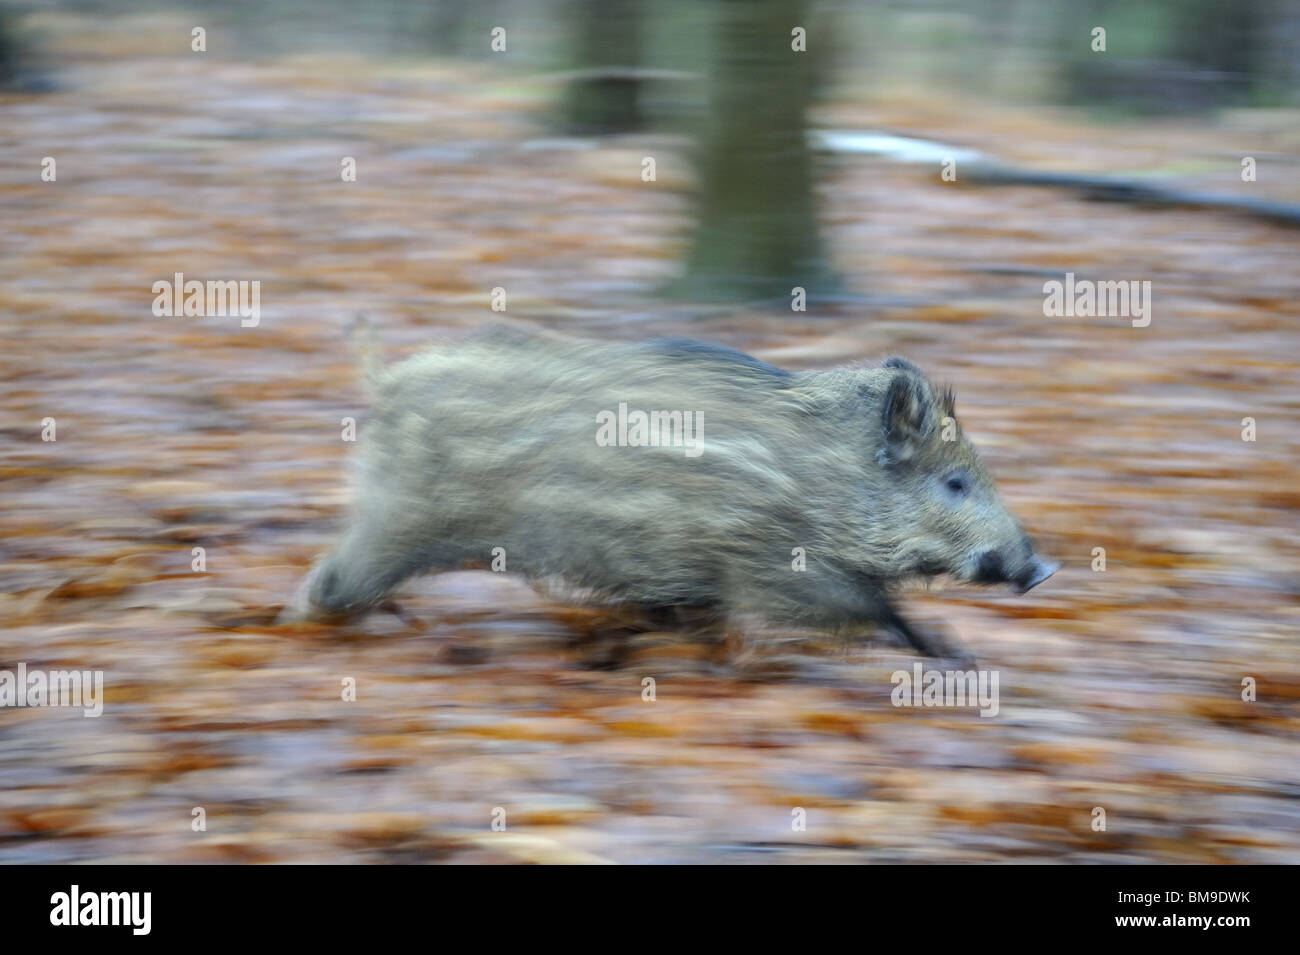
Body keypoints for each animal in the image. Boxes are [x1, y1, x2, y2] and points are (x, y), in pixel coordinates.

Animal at [281, 328, 1056, 663]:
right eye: (954, 482)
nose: (1043, 567)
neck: (823, 480)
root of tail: (387, 380)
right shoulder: (775, 569)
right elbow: (879, 608)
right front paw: (958, 656)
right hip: (397, 521)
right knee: (327, 581)